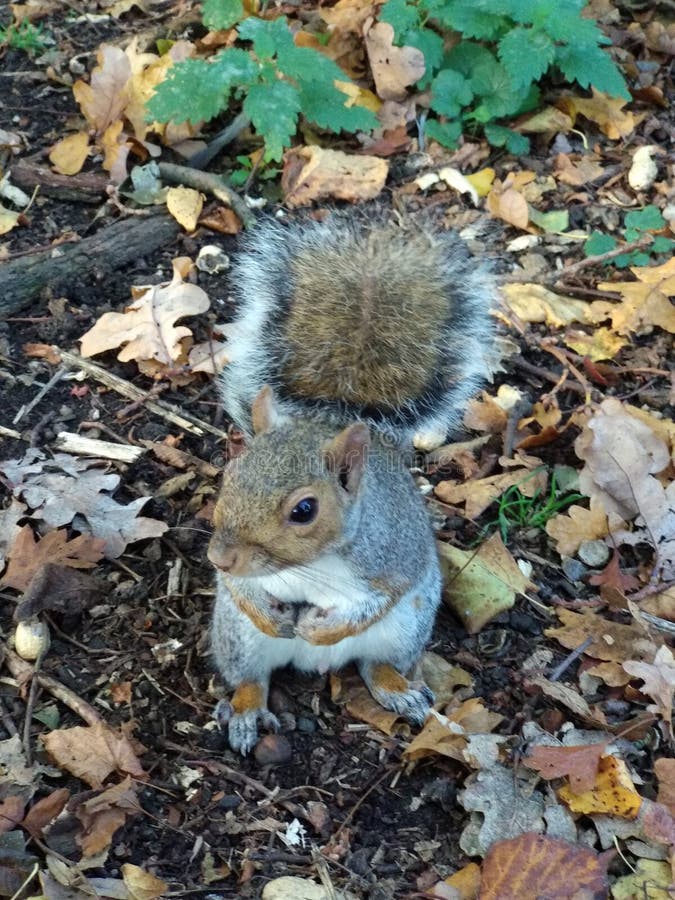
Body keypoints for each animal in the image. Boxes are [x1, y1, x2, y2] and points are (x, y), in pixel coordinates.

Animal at [208, 210, 494, 754]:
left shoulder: (389, 561)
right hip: (235, 639)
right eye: (229, 475)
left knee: (376, 664)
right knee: (250, 678)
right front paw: (270, 612)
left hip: (407, 626)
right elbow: (240, 591)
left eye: (304, 510)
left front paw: (319, 629)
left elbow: (374, 601)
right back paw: (247, 712)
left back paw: (397, 691)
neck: (311, 566)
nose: (220, 557)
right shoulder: (237, 587)